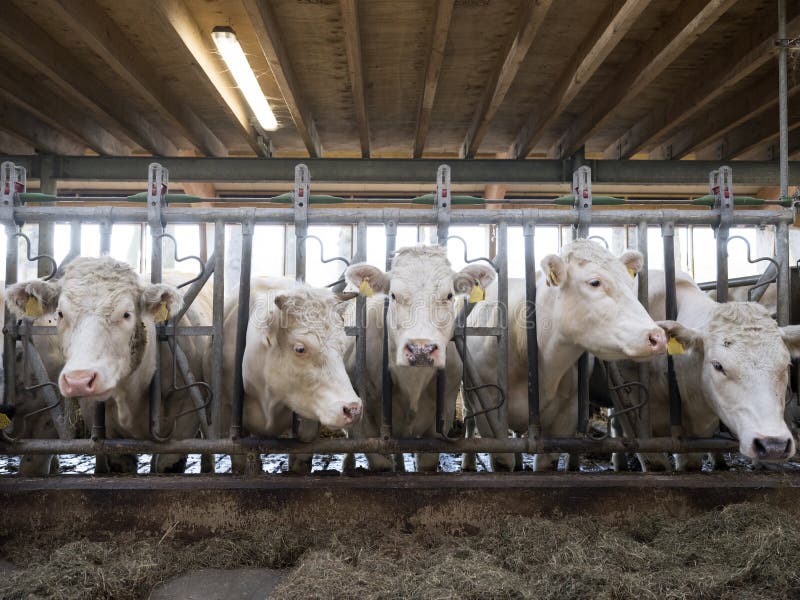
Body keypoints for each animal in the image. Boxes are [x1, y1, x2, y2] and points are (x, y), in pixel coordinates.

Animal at [344, 245, 496, 472]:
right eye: (393, 295)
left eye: (449, 295)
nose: (421, 349)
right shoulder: (365, 426)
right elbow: (379, 462)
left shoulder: (440, 420)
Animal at [466, 239, 668, 471]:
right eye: (595, 282)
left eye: (629, 282)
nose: (657, 337)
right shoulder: (488, 413)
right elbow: (502, 460)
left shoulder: (566, 417)